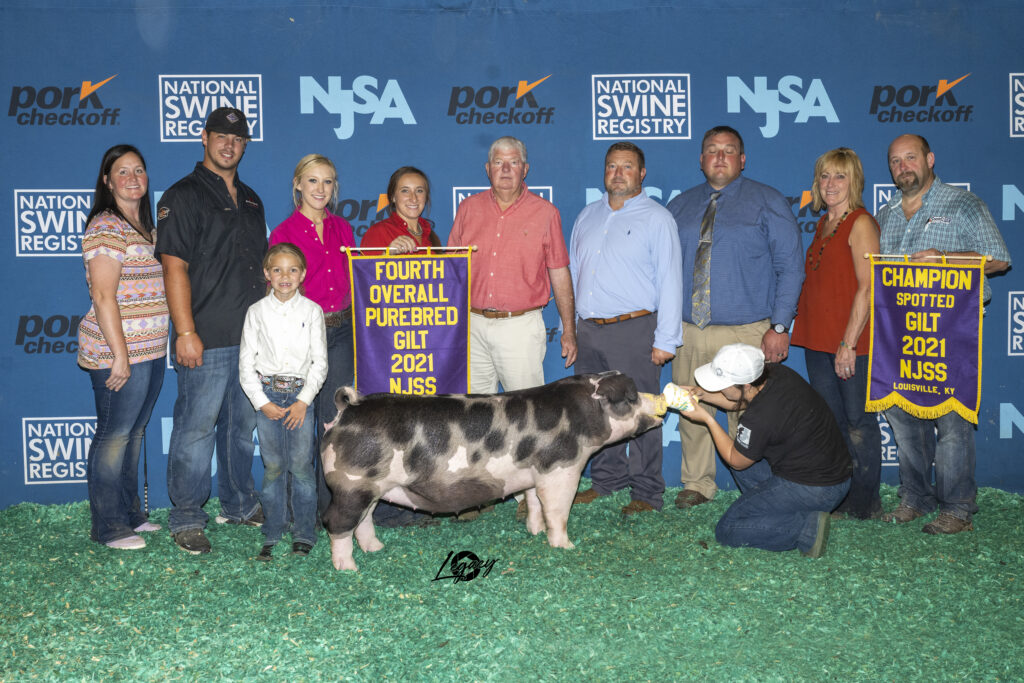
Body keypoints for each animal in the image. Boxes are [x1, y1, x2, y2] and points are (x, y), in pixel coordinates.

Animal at [320, 371, 667, 570]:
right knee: (336, 523)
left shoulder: (532, 473)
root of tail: (347, 410)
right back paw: (348, 568)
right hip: (351, 486)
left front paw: (534, 532)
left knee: (364, 521)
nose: (658, 404)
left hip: (370, 489)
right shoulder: (561, 468)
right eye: (630, 397)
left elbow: (534, 503)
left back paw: (377, 549)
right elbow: (557, 510)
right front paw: (566, 546)